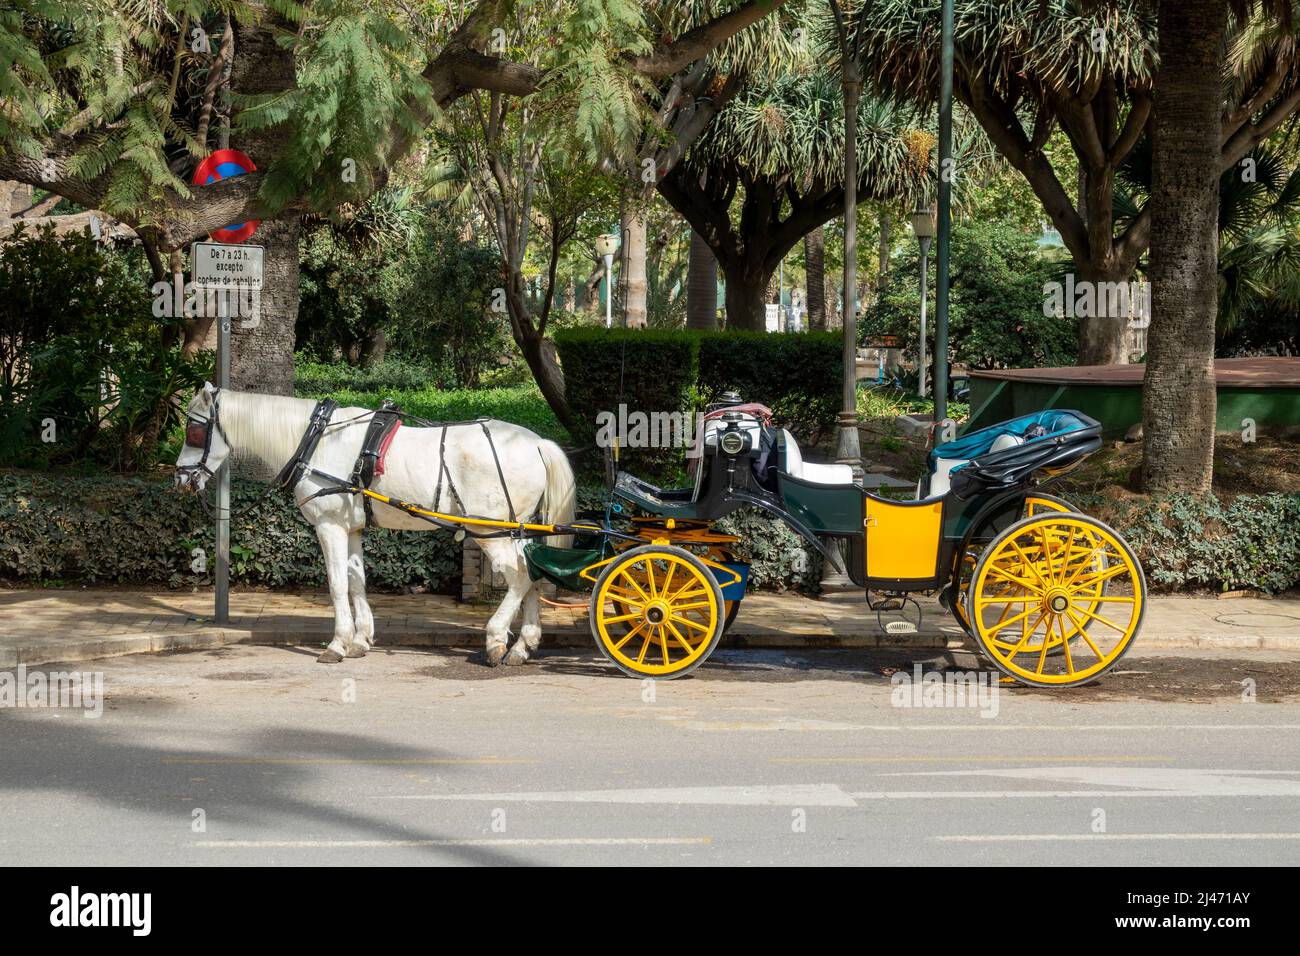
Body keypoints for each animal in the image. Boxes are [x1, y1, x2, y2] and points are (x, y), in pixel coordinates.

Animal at [173, 382, 575, 666]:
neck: (316, 439)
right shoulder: (351, 528)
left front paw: (337, 644)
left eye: (193, 429)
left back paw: (495, 639)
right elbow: (356, 582)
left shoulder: (329, 526)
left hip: (488, 530)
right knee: (532, 575)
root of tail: (538, 443)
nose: (181, 478)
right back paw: (523, 646)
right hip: (517, 529)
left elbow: (336, 584)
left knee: (519, 577)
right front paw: (360, 640)